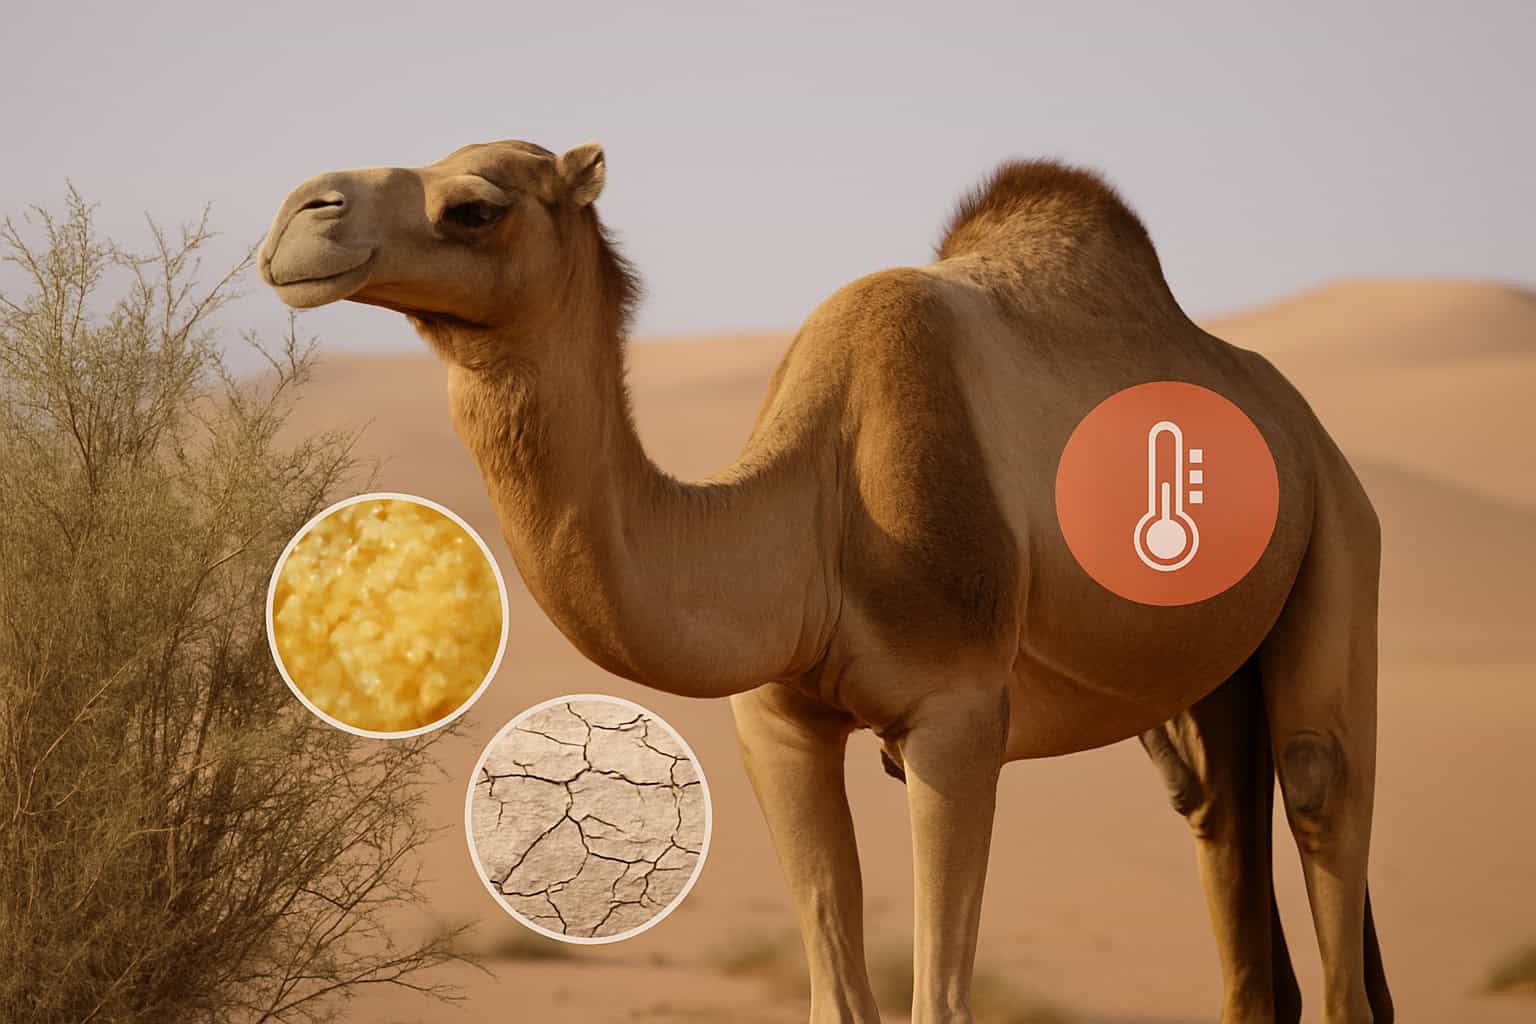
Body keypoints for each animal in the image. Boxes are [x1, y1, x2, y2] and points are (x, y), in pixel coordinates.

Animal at [258, 139, 1391, 1024]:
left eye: (474, 207)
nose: (296, 214)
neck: (815, 517)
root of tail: (1303, 425)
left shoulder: (958, 715)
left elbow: (940, 997)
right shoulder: (777, 717)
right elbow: (835, 993)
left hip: (1343, 528)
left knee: (1317, 787)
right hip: (1216, 673)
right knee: (1226, 836)